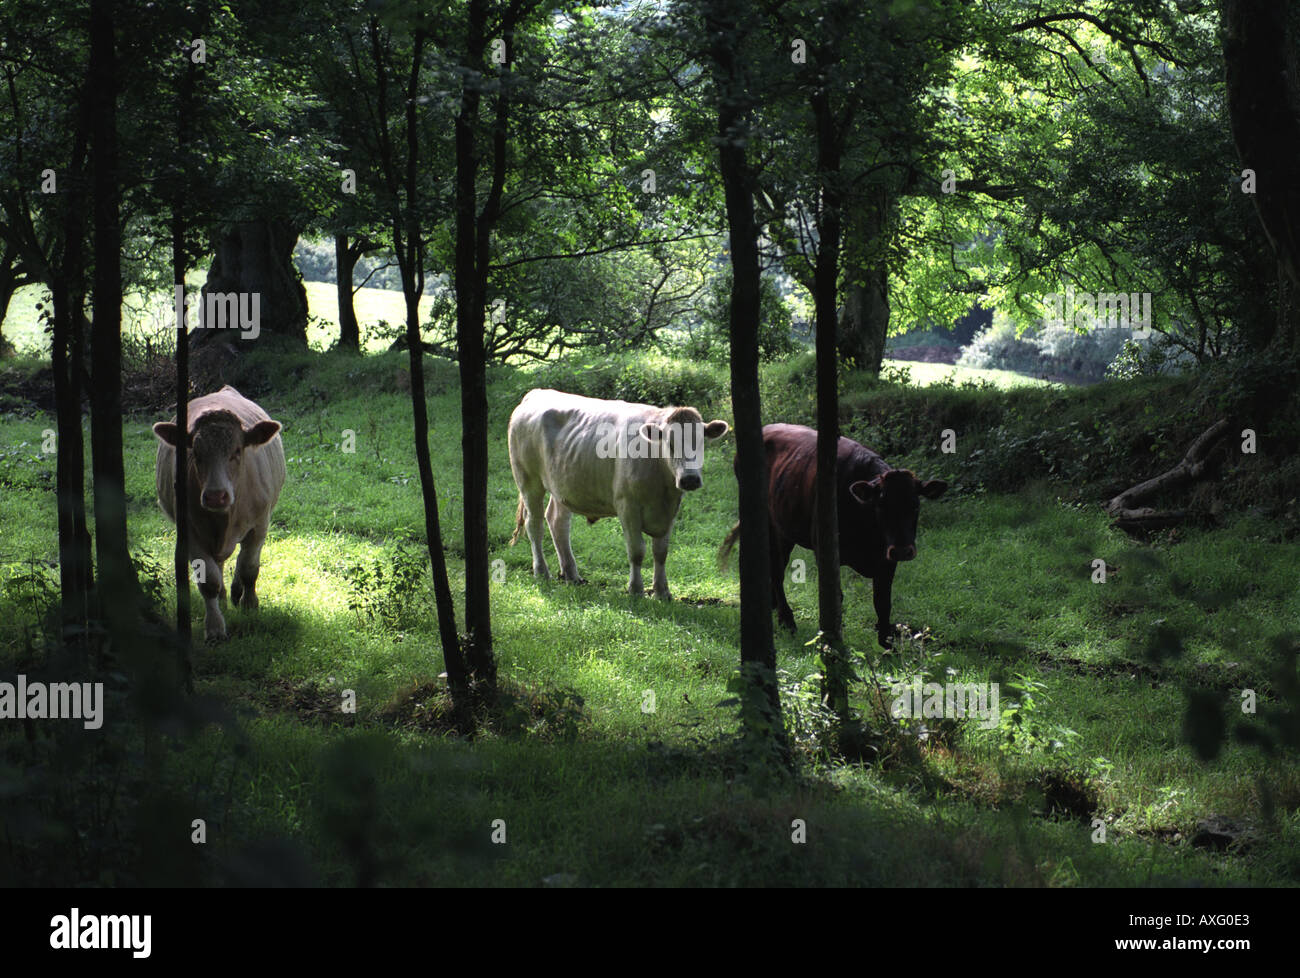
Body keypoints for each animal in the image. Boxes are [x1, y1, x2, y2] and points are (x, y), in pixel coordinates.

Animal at [153, 385, 286, 642]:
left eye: (237, 451)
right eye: (195, 452)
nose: (216, 496)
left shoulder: (259, 525)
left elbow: (249, 568)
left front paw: (250, 605)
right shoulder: (191, 533)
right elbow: (209, 581)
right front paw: (215, 627)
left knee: (241, 560)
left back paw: (236, 592)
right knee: (221, 563)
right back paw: (225, 598)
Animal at [508, 389, 729, 599]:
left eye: (701, 442)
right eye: (669, 443)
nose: (689, 479)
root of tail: (536, 394)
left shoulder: (670, 510)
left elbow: (661, 552)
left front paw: (662, 591)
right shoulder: (627, 506)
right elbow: (637, 551)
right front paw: (636, 590)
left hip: (562, 485)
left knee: (557, 522)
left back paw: (572, 575)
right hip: (528, 480)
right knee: (534, 524)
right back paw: (542, 572)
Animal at [718, 423, 946, 647]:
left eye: (915, 506)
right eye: (881, 507)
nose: (902, 550)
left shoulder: (886, 559)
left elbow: (883, 602)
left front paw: (888, 647)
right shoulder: (825, 551)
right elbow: (835, 597)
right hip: (771, 522)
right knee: (776, 569)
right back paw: (787, 620)